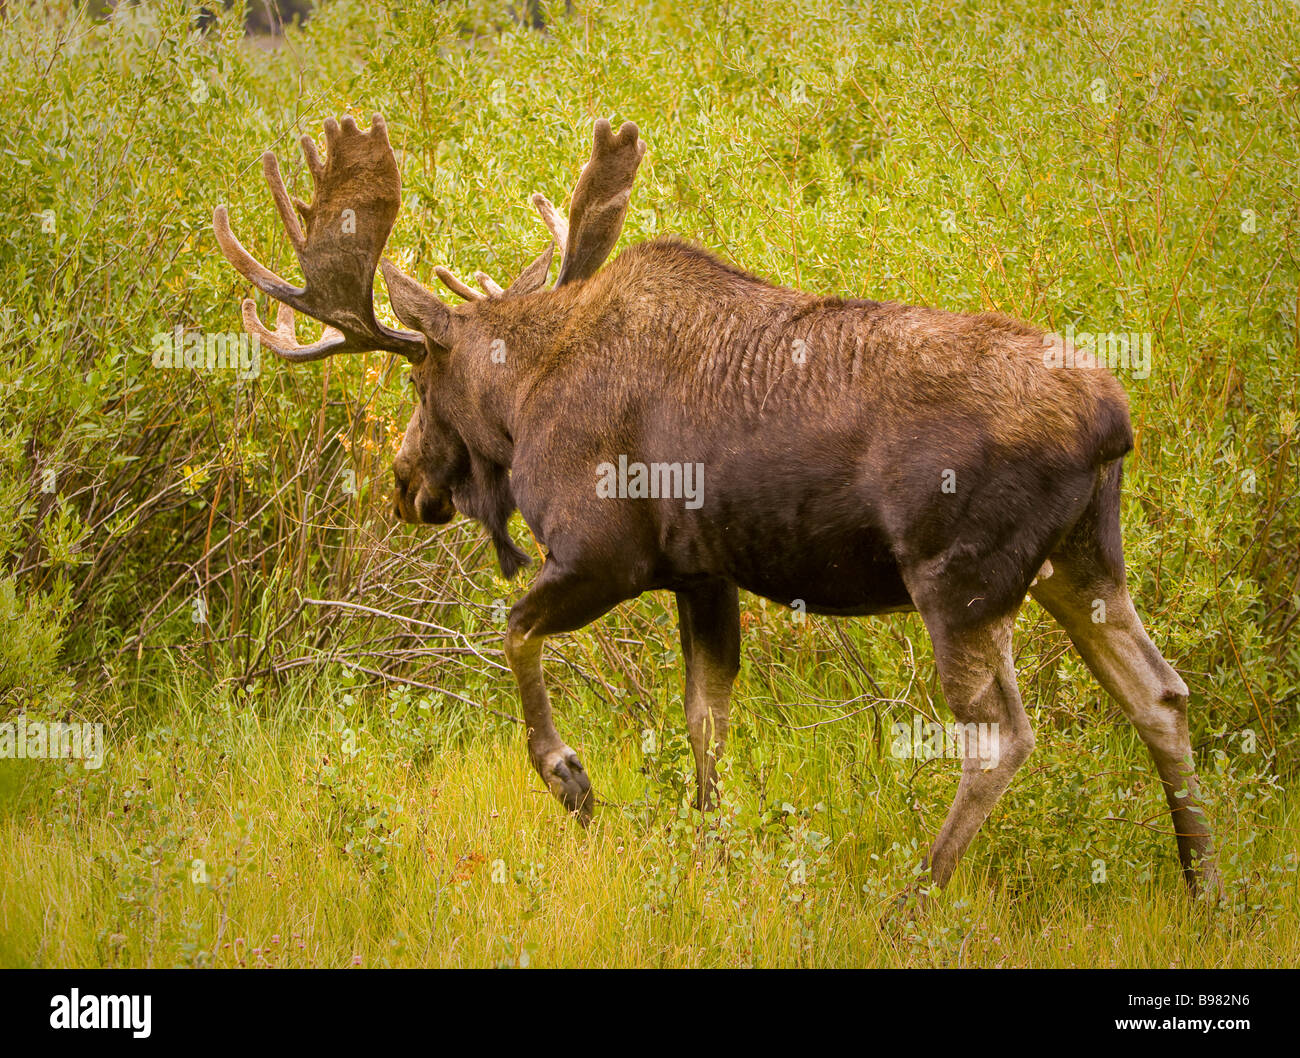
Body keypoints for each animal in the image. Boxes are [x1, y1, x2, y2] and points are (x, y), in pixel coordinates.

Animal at [213, 113, 1221, 898]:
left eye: (421, 380)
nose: (403, 478)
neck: (524, 394)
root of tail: (1115, 423)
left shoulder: (603, 552)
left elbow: (515, 632)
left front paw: (572, 780)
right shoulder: (703, 574)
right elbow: (708, 719)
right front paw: (710, 849)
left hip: (961, 578)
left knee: (1000, 738)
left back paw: (916, 896)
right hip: (1079, 565)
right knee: (1161, 695)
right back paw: (1203, 886)